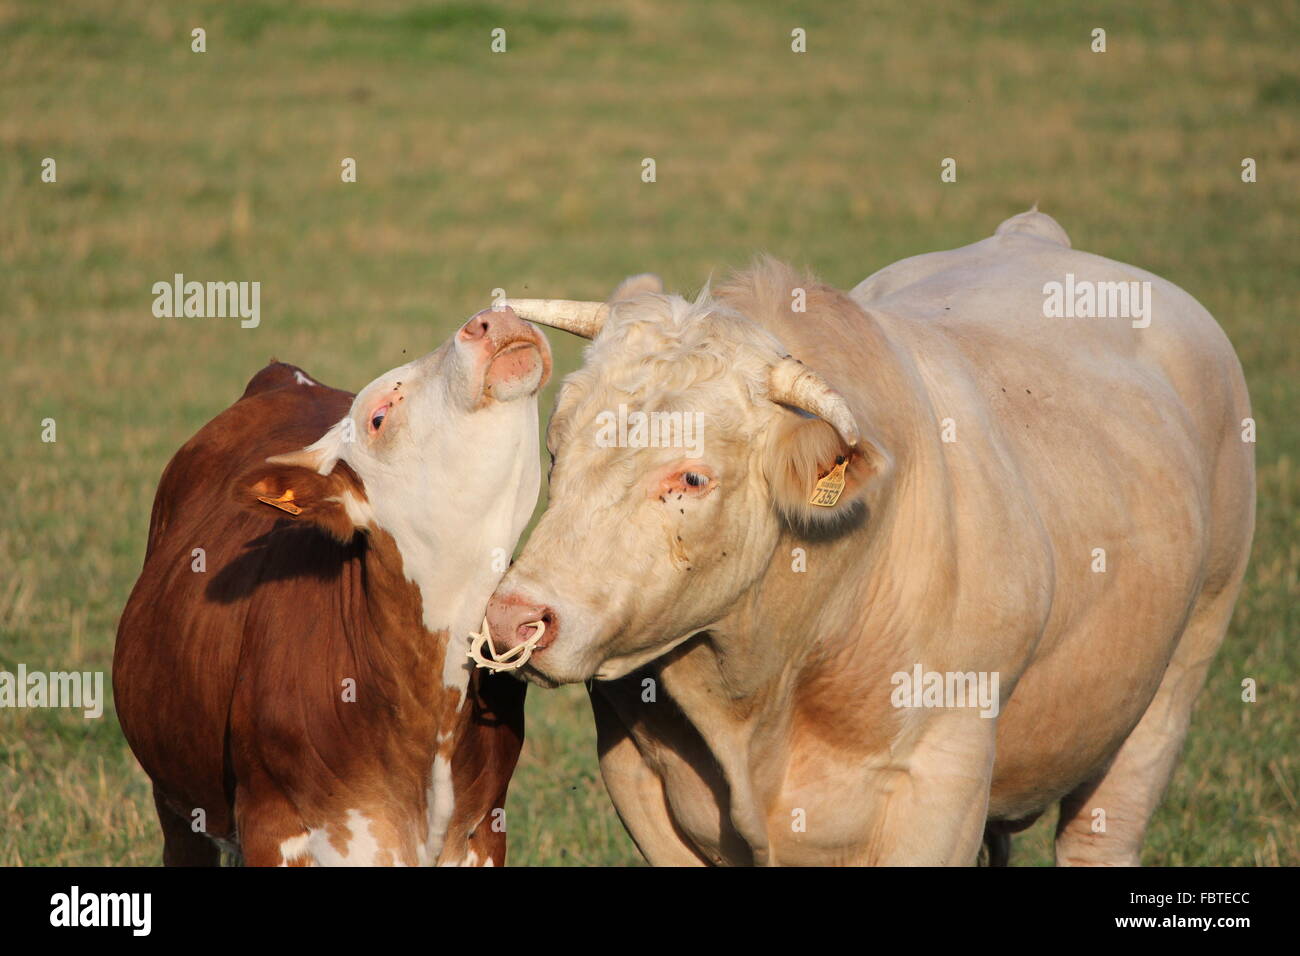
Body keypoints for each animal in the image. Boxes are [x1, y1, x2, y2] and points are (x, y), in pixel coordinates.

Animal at [114, 306, 551, 866]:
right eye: (378, 416)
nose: (490, 317)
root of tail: (285, 376)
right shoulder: (274, 827)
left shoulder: (484, 832)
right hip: (177, 804)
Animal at [482, 209, 1255, 866]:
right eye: (556, 447)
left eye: (692, 478)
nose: (516, 619)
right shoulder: (642, 783)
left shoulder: (937, 786)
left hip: (1174, 678)